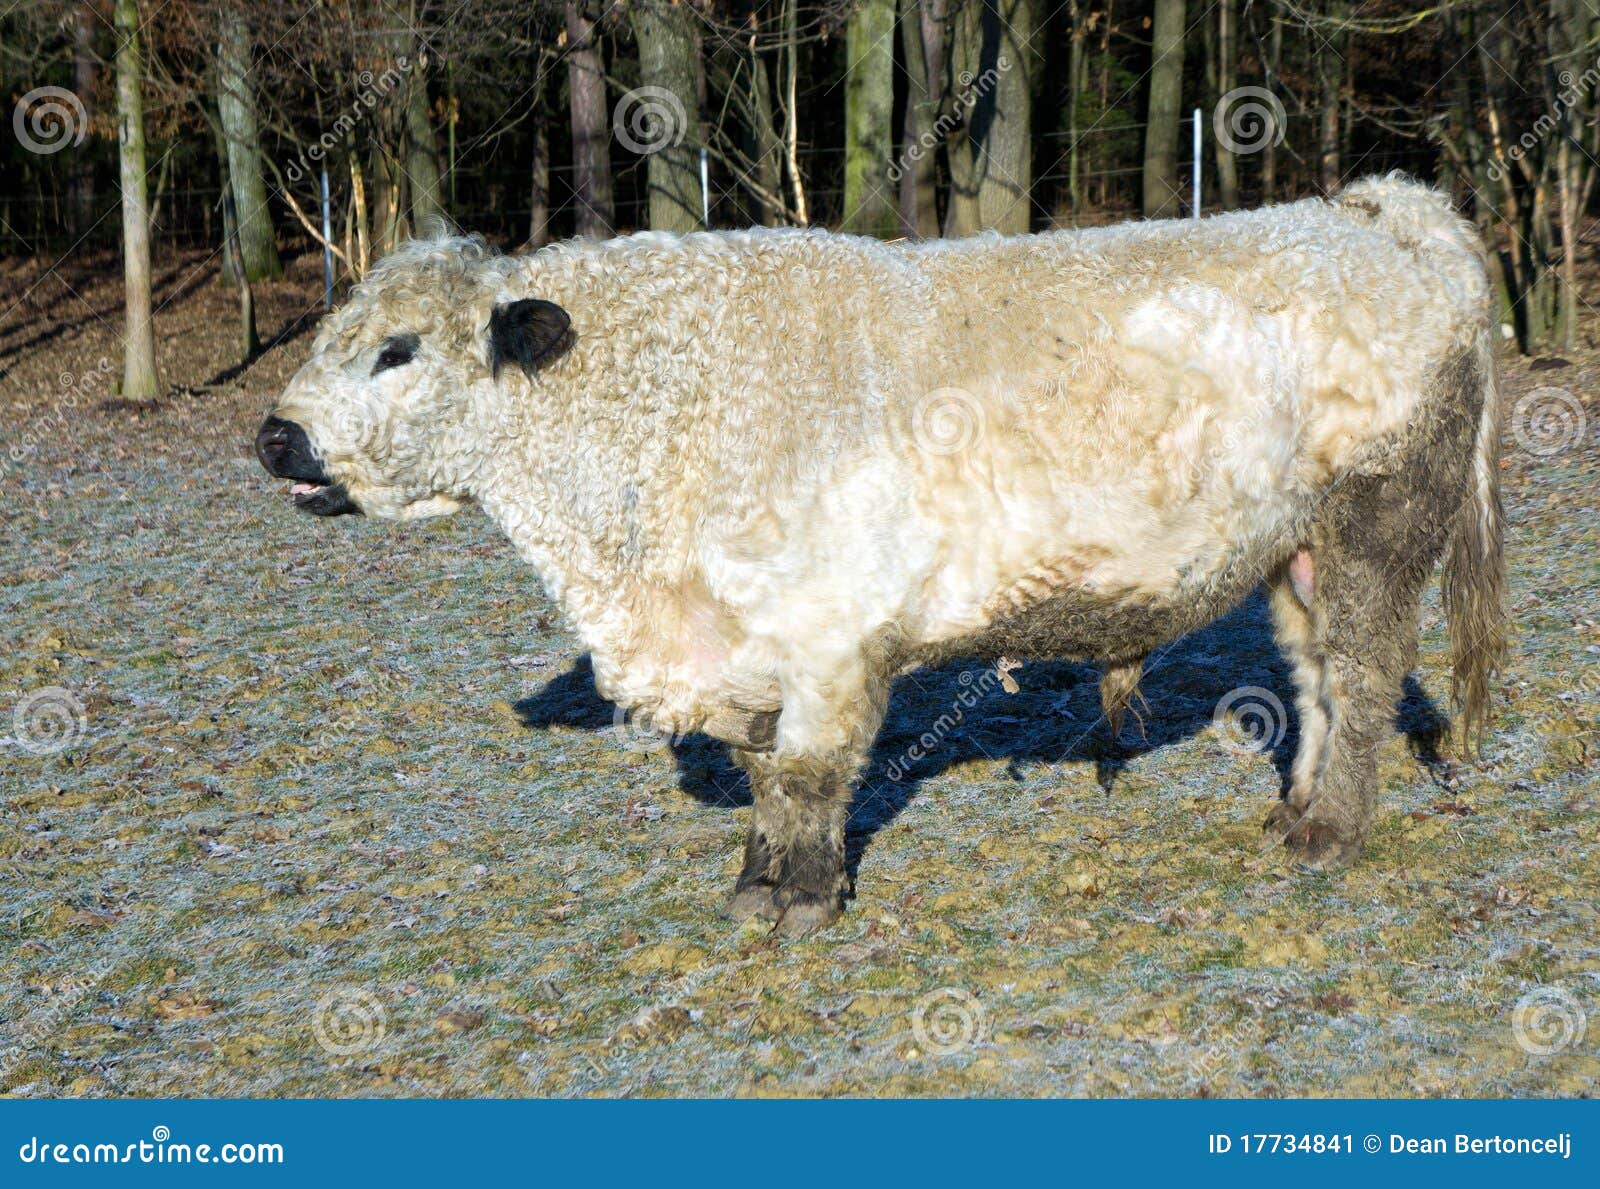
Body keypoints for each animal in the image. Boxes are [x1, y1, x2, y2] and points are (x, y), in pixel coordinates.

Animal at [256, 174, 1506, 937]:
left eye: (397, 349)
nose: (275, 436)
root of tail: (1365, 211)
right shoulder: (753, 646)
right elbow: (766, 775)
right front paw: (755, 886)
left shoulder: (827, 637)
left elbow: (811, 774)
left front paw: (804, 901)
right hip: (1295, 550)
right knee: (1314, 675)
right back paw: (1295, 811)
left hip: (1379, 519)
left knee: (1361, 673)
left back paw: (1330, 833)